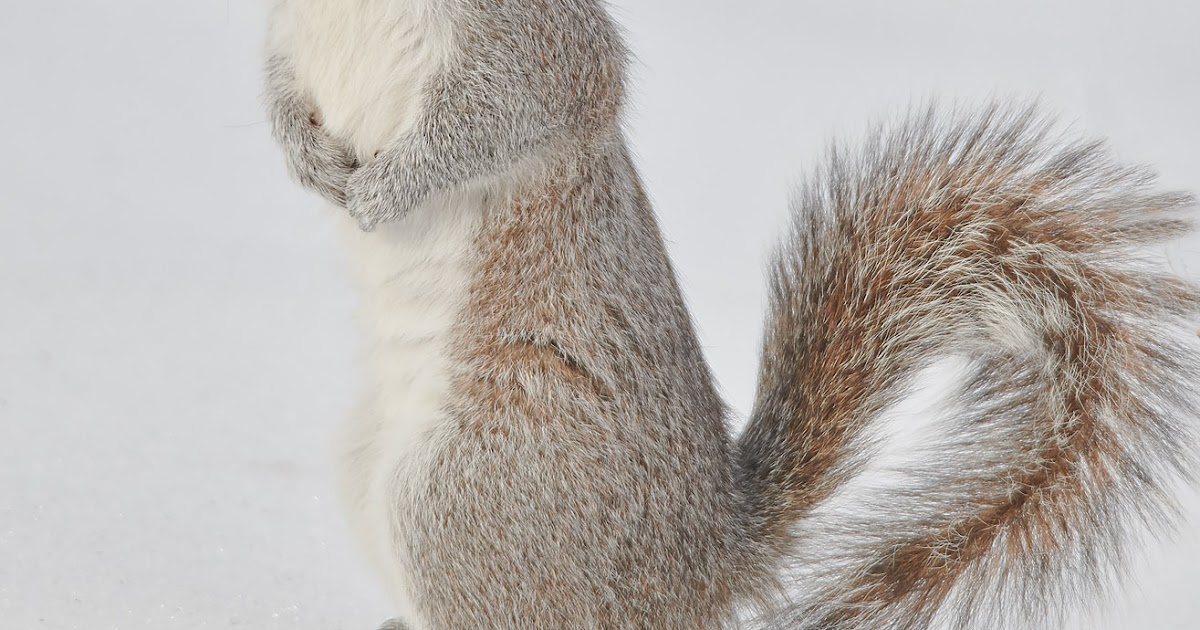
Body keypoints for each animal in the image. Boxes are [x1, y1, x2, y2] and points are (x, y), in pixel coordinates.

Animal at [264, 1, 1200, 628]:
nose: (345, 182)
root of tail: (699, 566)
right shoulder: (285, 32)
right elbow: (277, 86)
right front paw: (306, 158)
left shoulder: (532, 49)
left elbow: (498, 121)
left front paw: (386, 191)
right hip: (383, 467)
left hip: (475, 491)